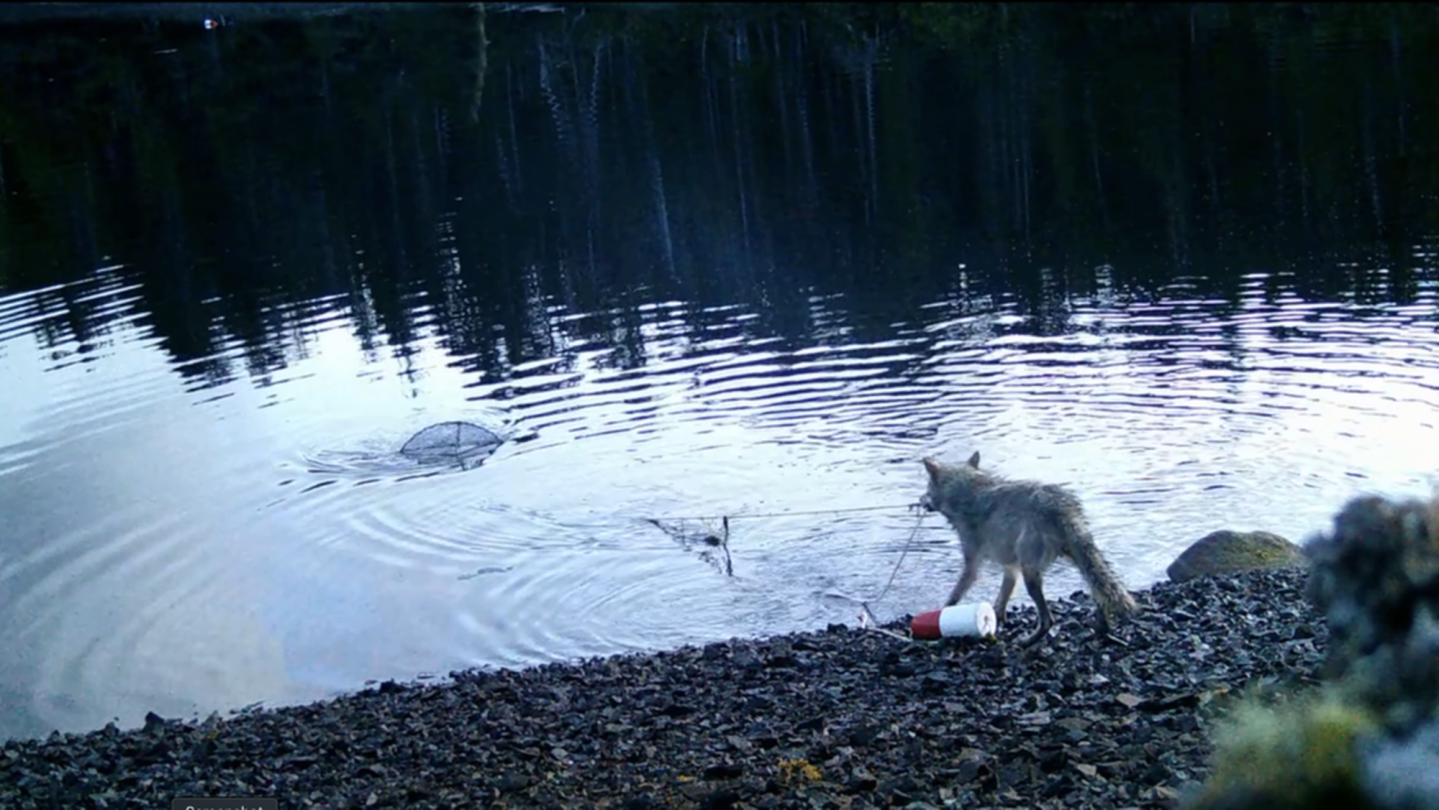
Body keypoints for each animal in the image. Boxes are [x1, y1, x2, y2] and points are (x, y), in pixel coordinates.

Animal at [920, 452, 1139, 646]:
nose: (919, 500)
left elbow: (956, 594)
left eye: (927, 488)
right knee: (1100, 595)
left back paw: (1028, 641)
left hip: (1032, 574)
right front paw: (997, 619)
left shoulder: (973, 564)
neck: (965, 491)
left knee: (1048, 620)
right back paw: (1103, 628)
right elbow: (1001, 599)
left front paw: (942, 613)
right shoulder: (1010, 568)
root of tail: (1062, 507)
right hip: (1078, 559)